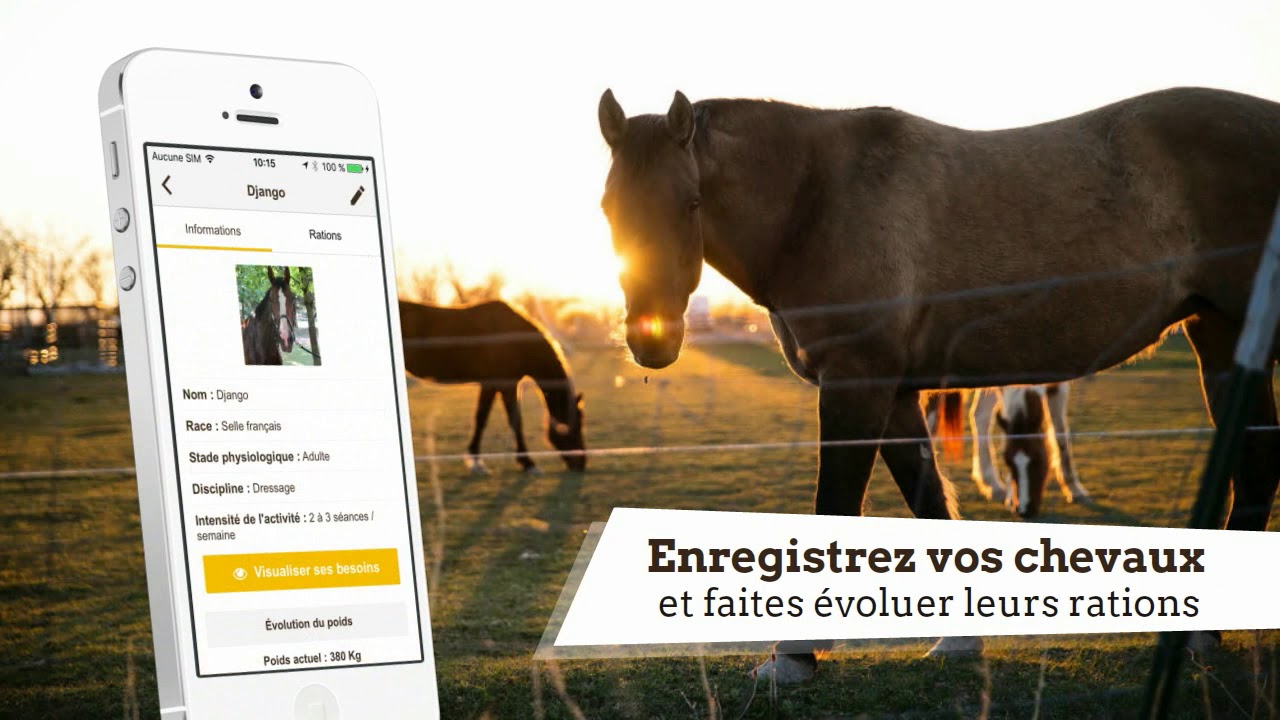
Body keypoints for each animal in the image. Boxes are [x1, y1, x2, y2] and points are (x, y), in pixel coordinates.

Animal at [397, 299, 587, 473]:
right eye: (572, 427)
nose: (581, 464)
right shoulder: (504, 386)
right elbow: (513, 420)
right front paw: (527, 463)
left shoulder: (492, 385)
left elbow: (482, 418)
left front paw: (476, 461)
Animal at [597, 86, 1280, 683]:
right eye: (609, 208)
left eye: (690, 203)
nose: (652, 340)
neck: (816, 198)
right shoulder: (895, 395)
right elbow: (927, 499)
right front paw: (959, 640)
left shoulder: (855, 384)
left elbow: (835, 504)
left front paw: (793, 658)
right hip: (1220, 336)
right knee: (1255, 467)